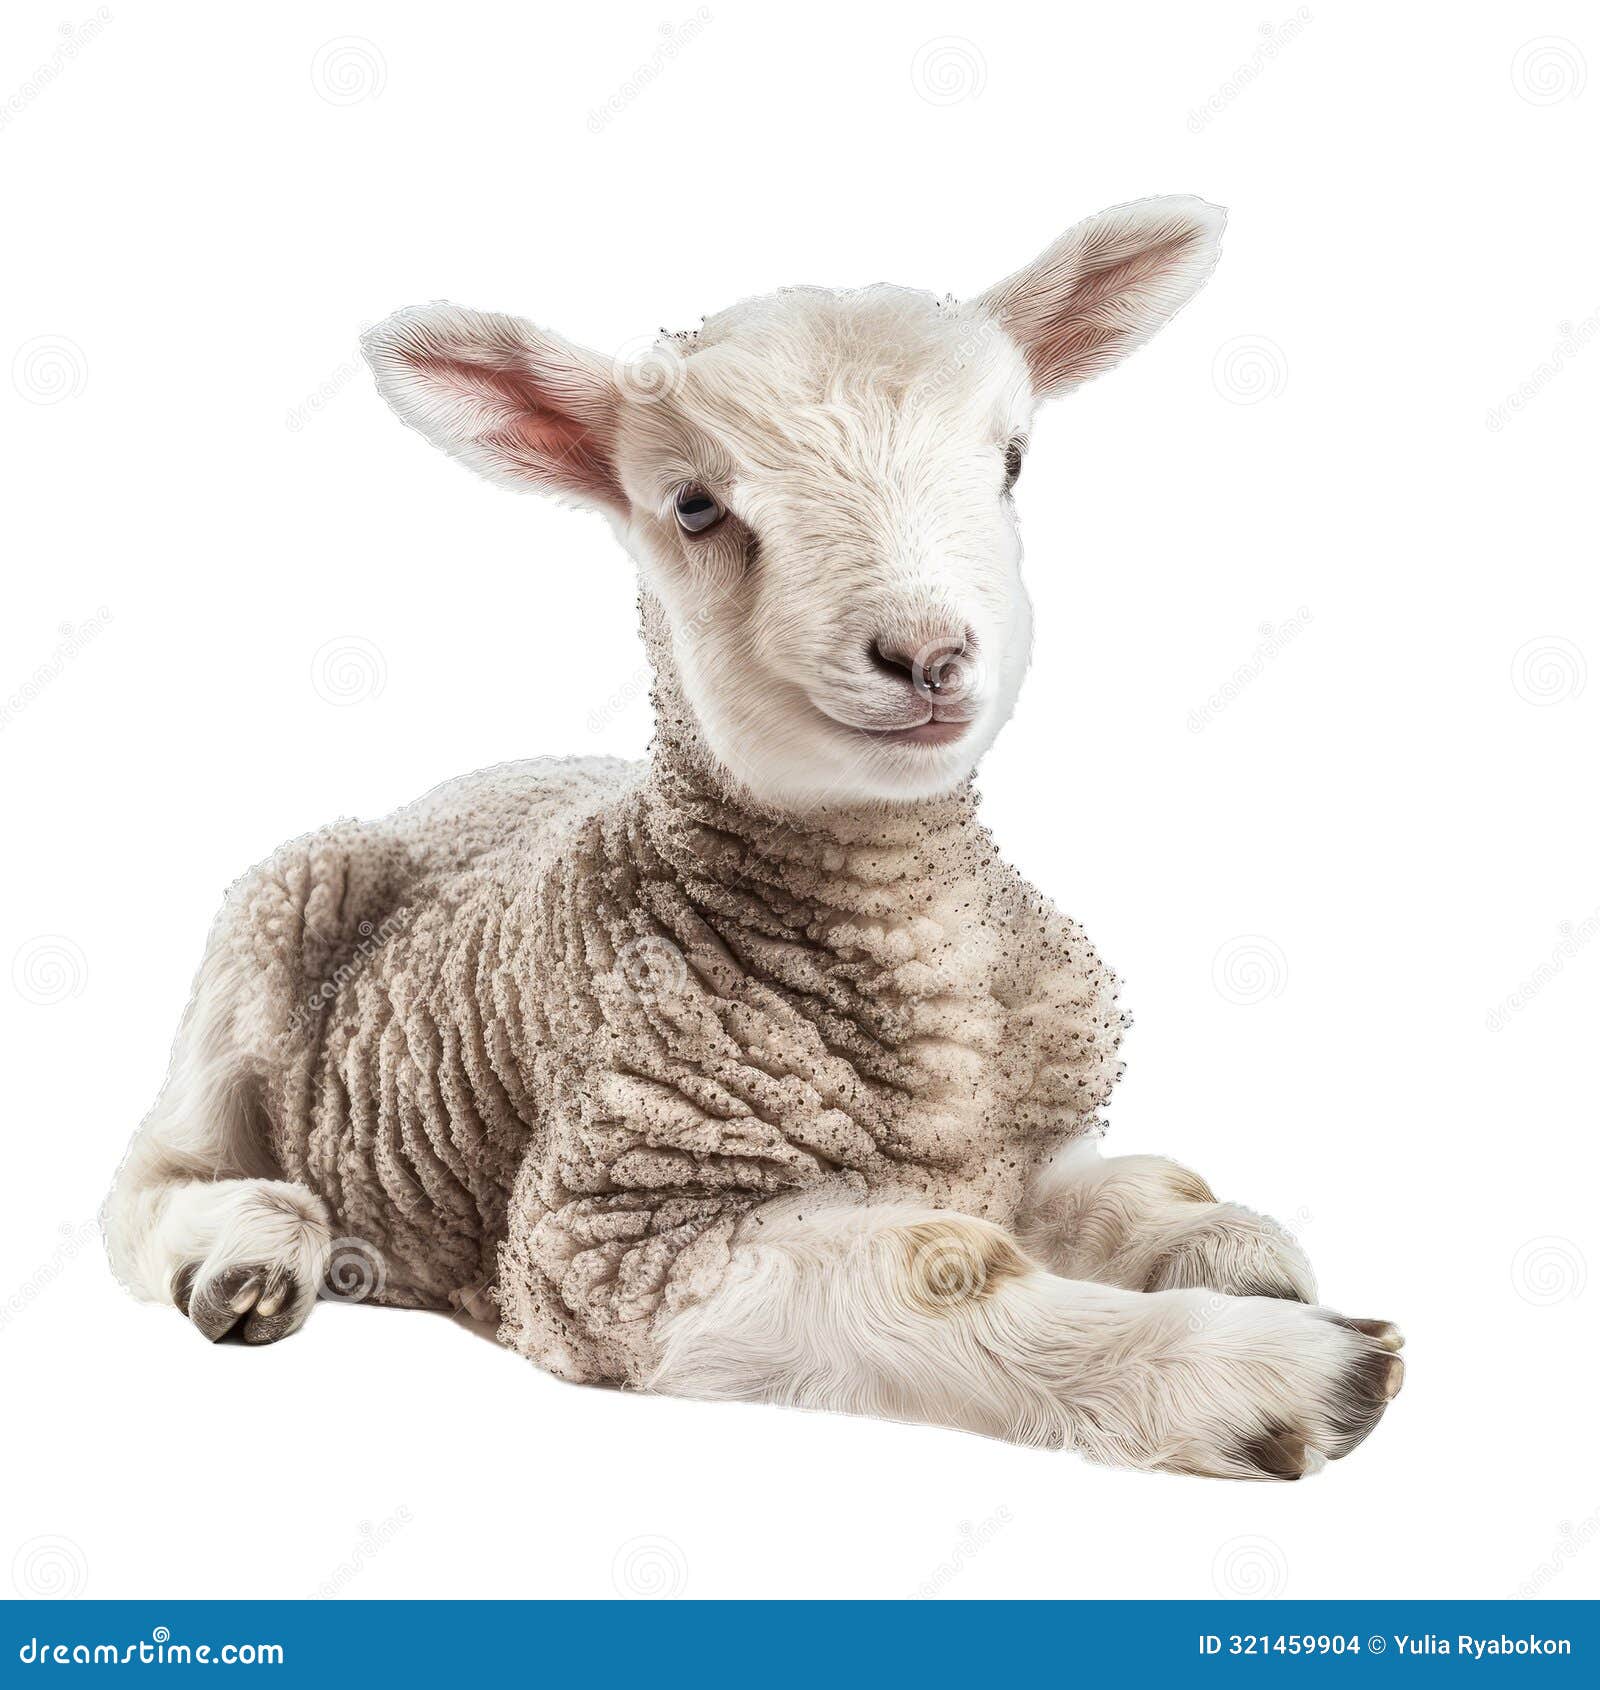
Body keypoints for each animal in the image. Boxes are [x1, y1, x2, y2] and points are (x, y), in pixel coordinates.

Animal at [104, 196, 1403, 1478]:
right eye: (694, 505)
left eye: (1011, 461)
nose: (928, 654)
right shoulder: (613, 1239)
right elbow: (940, 1266)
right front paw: (1260, 1371)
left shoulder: (1023, 1152)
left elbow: (1136, 1186)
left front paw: (1231, 1252)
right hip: (262, 933)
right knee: (149, 1182)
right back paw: (254, 1247)